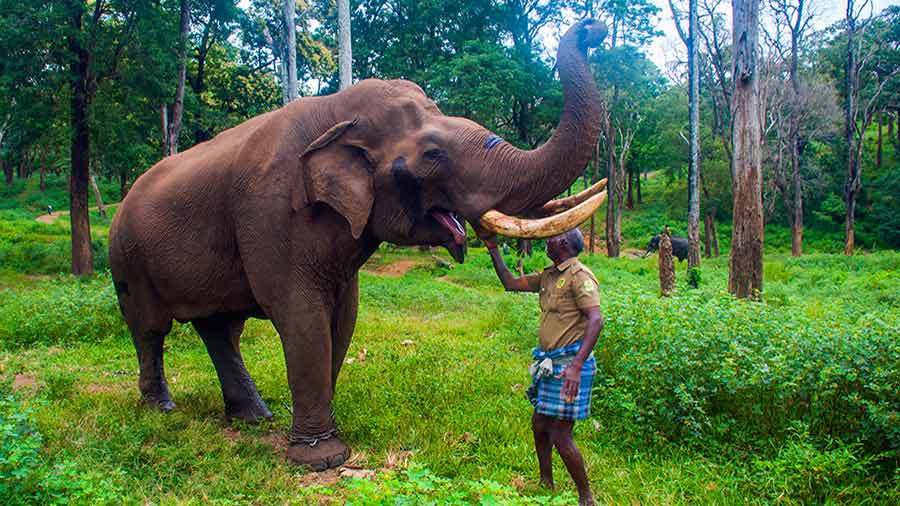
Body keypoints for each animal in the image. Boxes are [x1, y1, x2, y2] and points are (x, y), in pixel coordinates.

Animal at [108, 19, 608, 471]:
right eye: (433, 155)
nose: (593, 29)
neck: (334, 113)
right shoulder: (266, 212)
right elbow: (302, 317)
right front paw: (322, 459)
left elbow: (342, 317)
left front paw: (324, 436)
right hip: (128, 262)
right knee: (151, 329)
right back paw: (161, 409)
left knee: (219, 329)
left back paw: (253, 417)